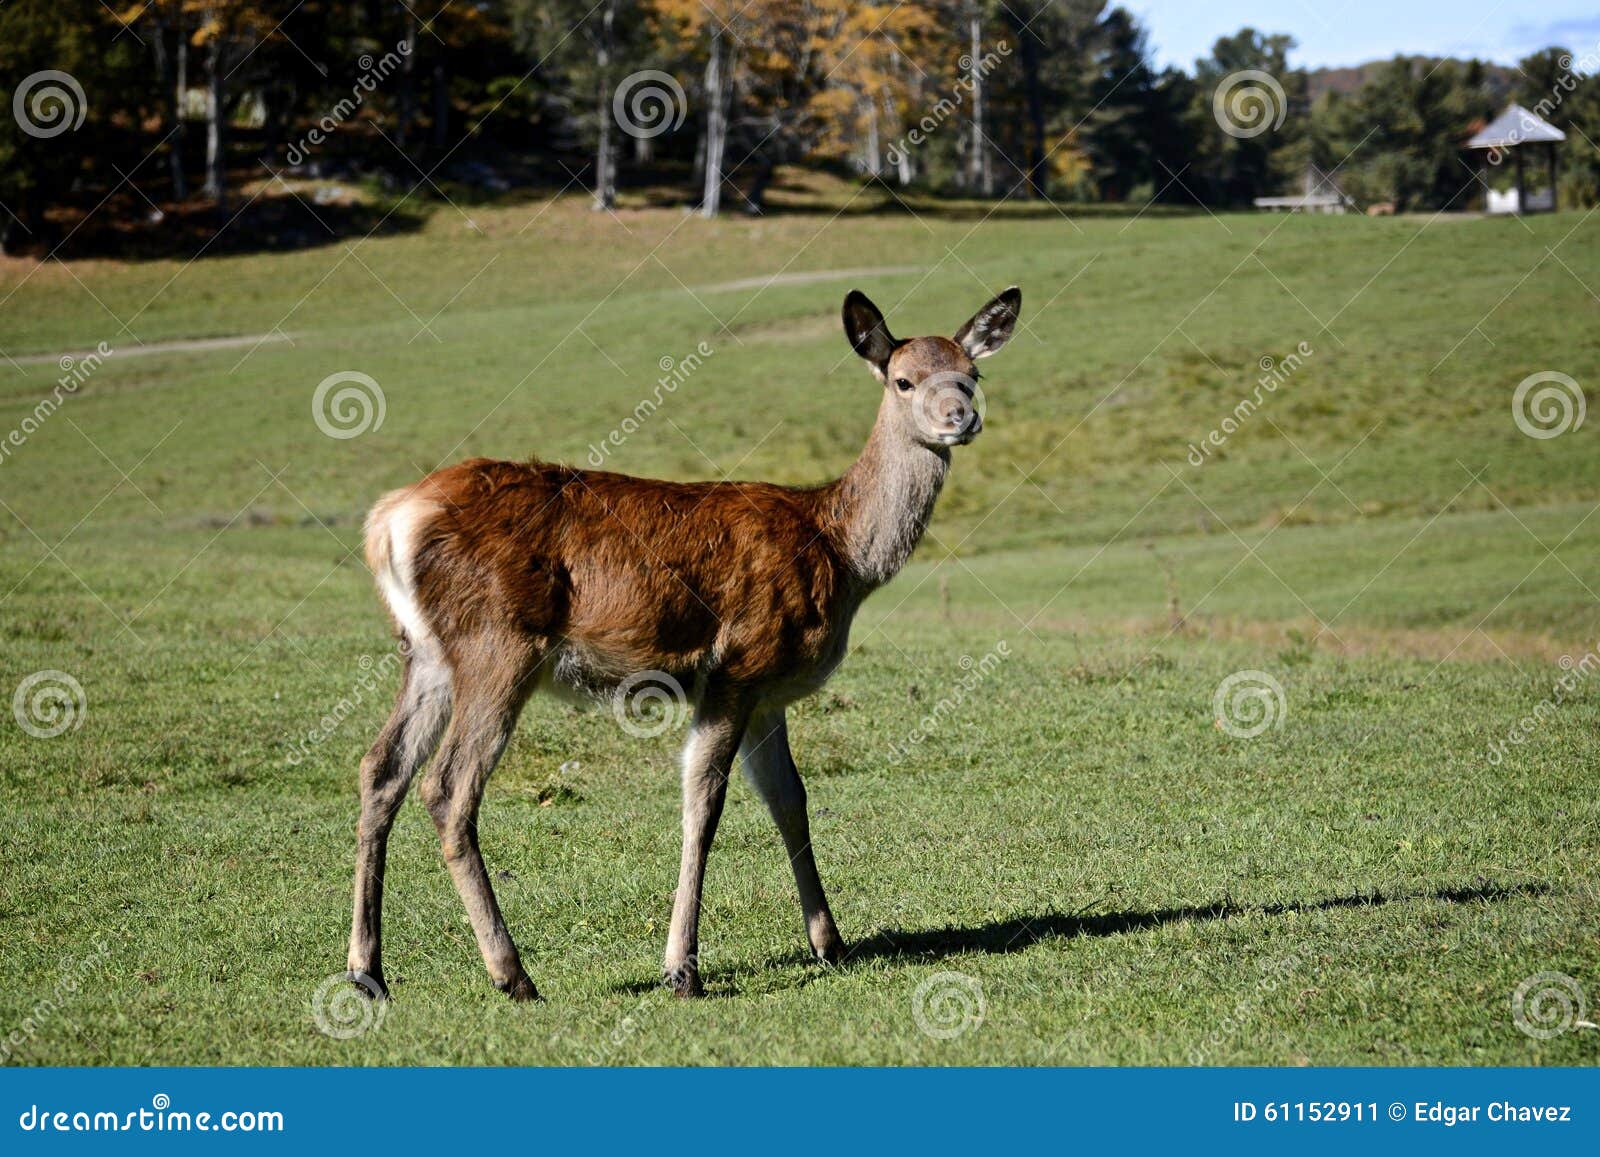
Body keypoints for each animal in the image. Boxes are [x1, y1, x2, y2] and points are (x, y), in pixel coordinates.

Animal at [346, 286, 1022, 1000]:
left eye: (972, 374)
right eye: (903, 380)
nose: (960, 417)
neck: (840, 552)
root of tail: (389, 520)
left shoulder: (770, 690)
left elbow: (790, 799)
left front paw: (829, 943)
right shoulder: (739, 663)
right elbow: (704, 801)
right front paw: (682, 968)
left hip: (426, 654)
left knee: (381, 767)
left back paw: (368, 971)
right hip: (498, 643)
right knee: (448, 788)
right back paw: (513, 973)